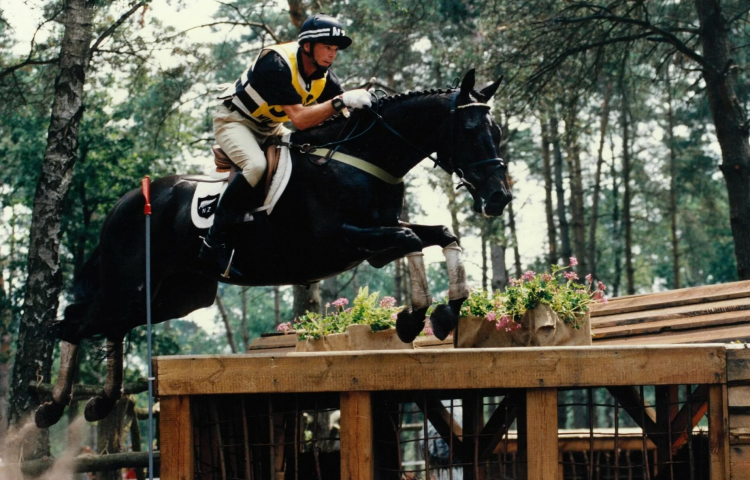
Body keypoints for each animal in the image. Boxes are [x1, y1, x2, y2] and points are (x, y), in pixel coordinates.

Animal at [35, 69, 512, 428]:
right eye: (471, 129)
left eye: (497, 130)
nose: (499, 198)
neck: (361, 158)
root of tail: (126, 202)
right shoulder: (348, 239)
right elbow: (413, 241)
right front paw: (413, 318)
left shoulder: (379, 234)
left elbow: (443, 234)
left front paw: (446, 312)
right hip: (130, 285)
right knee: (75, 322)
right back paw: (52, 408)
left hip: (176, 296)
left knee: (110, 324)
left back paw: (100, 402)